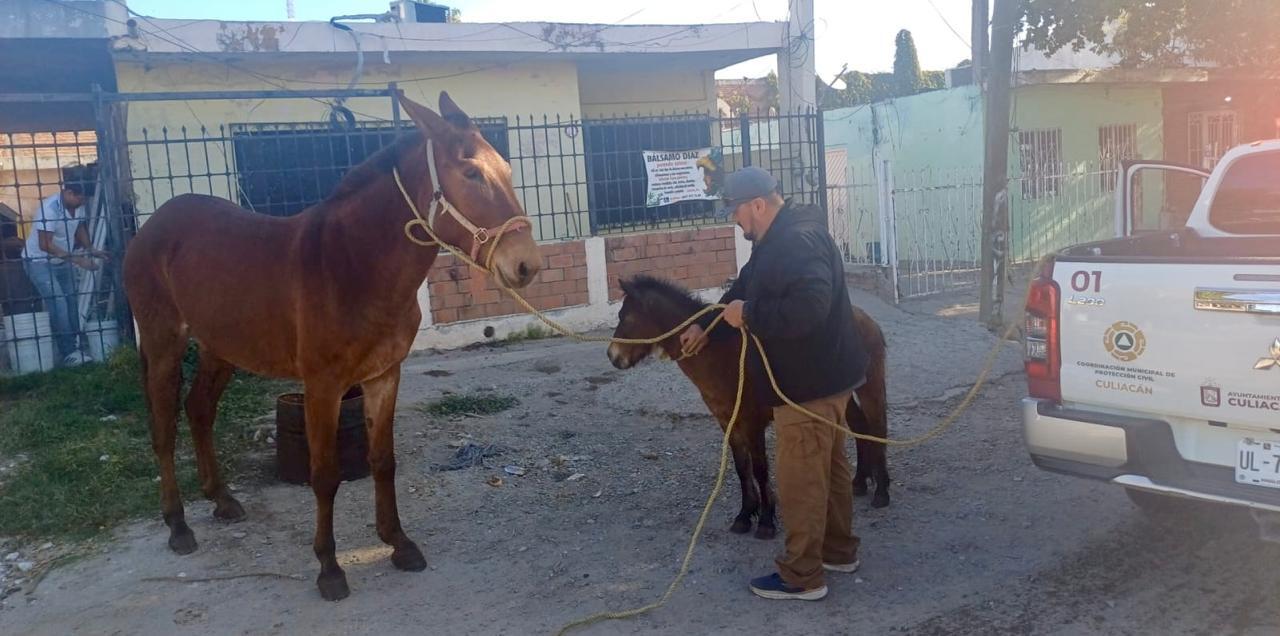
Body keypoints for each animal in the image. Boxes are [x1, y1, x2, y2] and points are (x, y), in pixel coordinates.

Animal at [122, 92, 542, 601]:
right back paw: (178, 525)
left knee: (199, 410)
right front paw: (329, 567)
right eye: (471, 173)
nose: (526, 265)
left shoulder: (384, 376)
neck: (353, 264)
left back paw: (221, 500)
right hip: (164, 343)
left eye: (506, 169)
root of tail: (153, 225)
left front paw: (399, 544)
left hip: (220, 346)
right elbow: (324, 476)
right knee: (163, 429)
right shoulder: (322, 386)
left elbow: (383, 462)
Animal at [606, 275, 890, 539]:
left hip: (870, 386)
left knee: (877, 427)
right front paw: (744, 515)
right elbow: (742, 468)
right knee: (860, 425)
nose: (612, 356)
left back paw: (882, 491)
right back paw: (859, 482)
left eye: (626, 318)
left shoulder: (753, 423)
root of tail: (867, 320)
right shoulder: (727, 421)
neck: (720, 354)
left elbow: (761, 469)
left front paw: (765, 521)